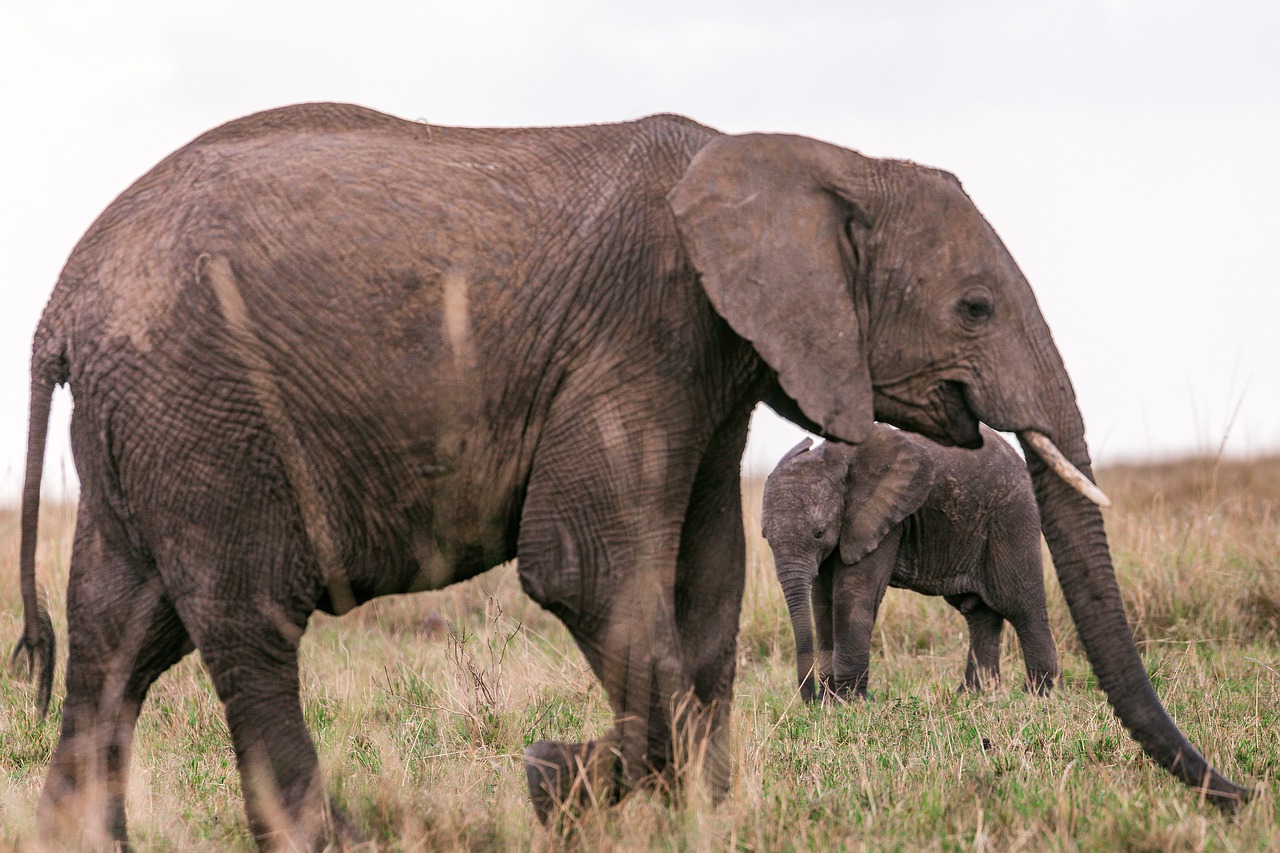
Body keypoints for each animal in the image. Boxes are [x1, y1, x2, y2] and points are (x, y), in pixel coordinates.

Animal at [762, 425, 1058, 703]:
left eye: (819, 533)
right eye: (766, 537)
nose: (810, 697)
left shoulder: (880, 519)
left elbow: (854, 596)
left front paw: (850, 702)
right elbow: (822, 602)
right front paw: (830, 702)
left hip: (1011, 517)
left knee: (1021, 605)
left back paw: (1037, 692)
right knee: (980, 614)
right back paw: (973, 694)